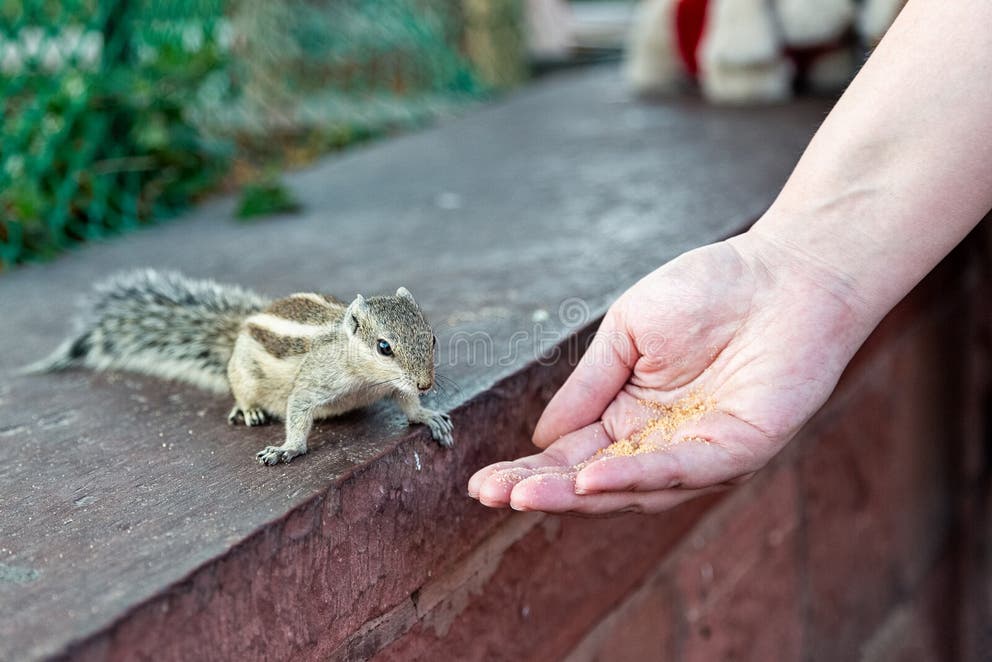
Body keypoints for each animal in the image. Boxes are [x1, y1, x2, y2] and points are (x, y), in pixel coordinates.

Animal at [25, 269, 454, 465]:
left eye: (432, 337)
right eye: (383, 347)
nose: (426, 384)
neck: (366, 378)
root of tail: (241, 327)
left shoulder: (395, 387)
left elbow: (407, 404)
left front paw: (427, 415)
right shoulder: (315, 381)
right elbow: (298, 411)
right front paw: (287, 448)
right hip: (245, 376)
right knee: (243, 393)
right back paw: (247, 410)